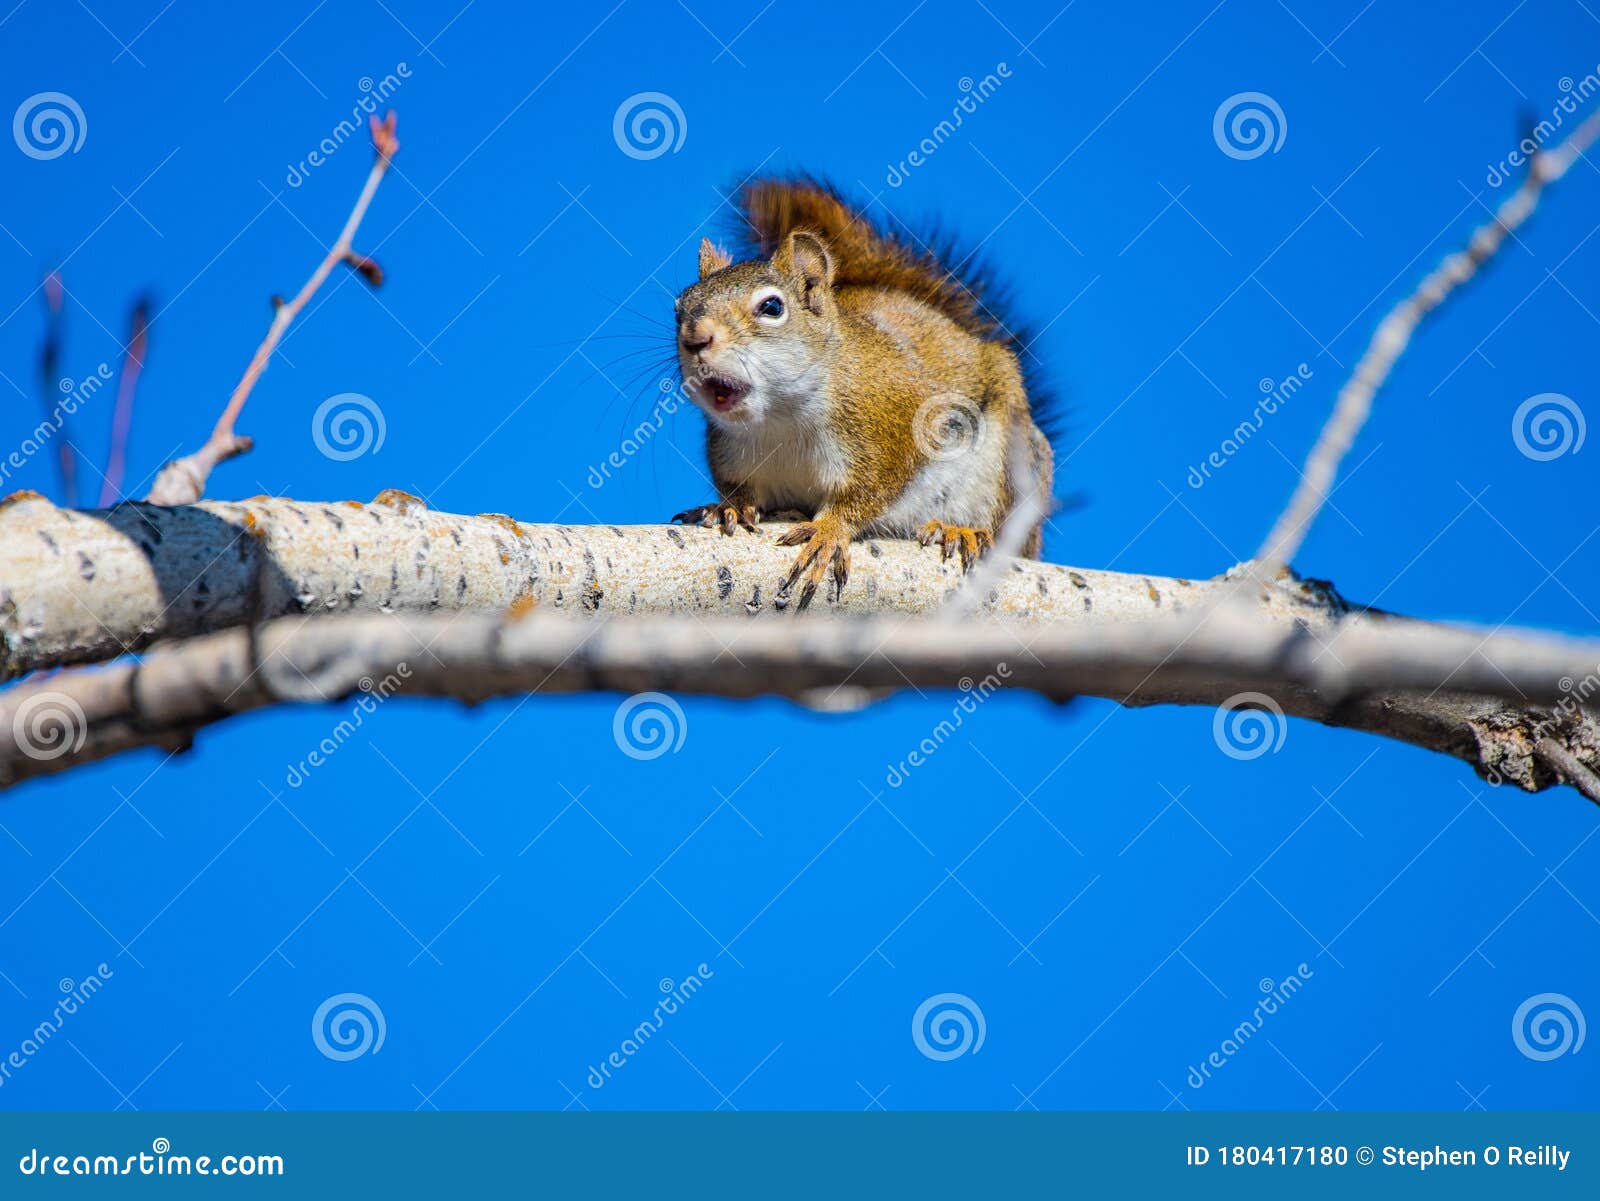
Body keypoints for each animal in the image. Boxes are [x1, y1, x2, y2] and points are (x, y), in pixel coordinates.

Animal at [671, 177, 1055, 610]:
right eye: (678, 309)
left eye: (771, 306)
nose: (695, 340)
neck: (779, 421)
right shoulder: (731, 454)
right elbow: (740, 490)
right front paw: (728, 508)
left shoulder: (895, 425)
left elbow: (870, 491)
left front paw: (829, 530)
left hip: (1006, 461)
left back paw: (961, 531)